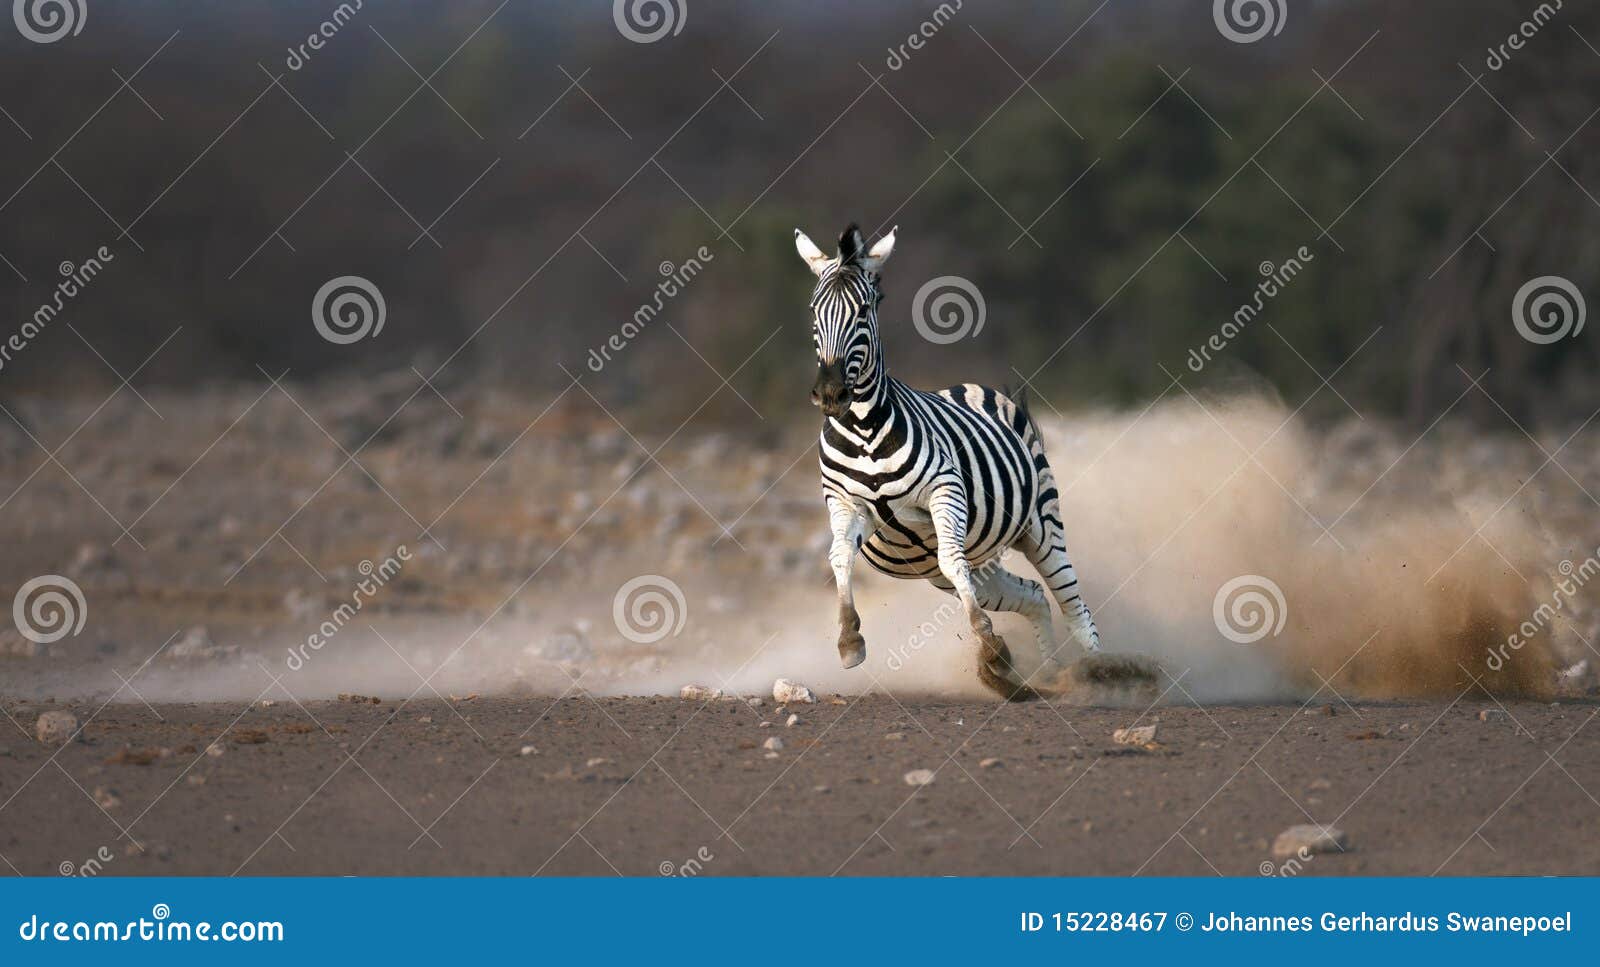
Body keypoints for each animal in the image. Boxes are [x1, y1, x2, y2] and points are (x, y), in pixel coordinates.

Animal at [796, 222, 1107, 701]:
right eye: (815, 308)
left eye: (865, 309)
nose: (831, 394)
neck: (864, 427)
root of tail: (976, 388)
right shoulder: (847, 505)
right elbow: (839, 558)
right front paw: (850, 641)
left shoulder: (945, 493)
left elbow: (950, 559)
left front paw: (992, 647)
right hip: (979, 562)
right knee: (1034, 595)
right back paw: (1048, 677)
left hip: (1042, 525)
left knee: (1073, 604)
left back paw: (1103, 674)